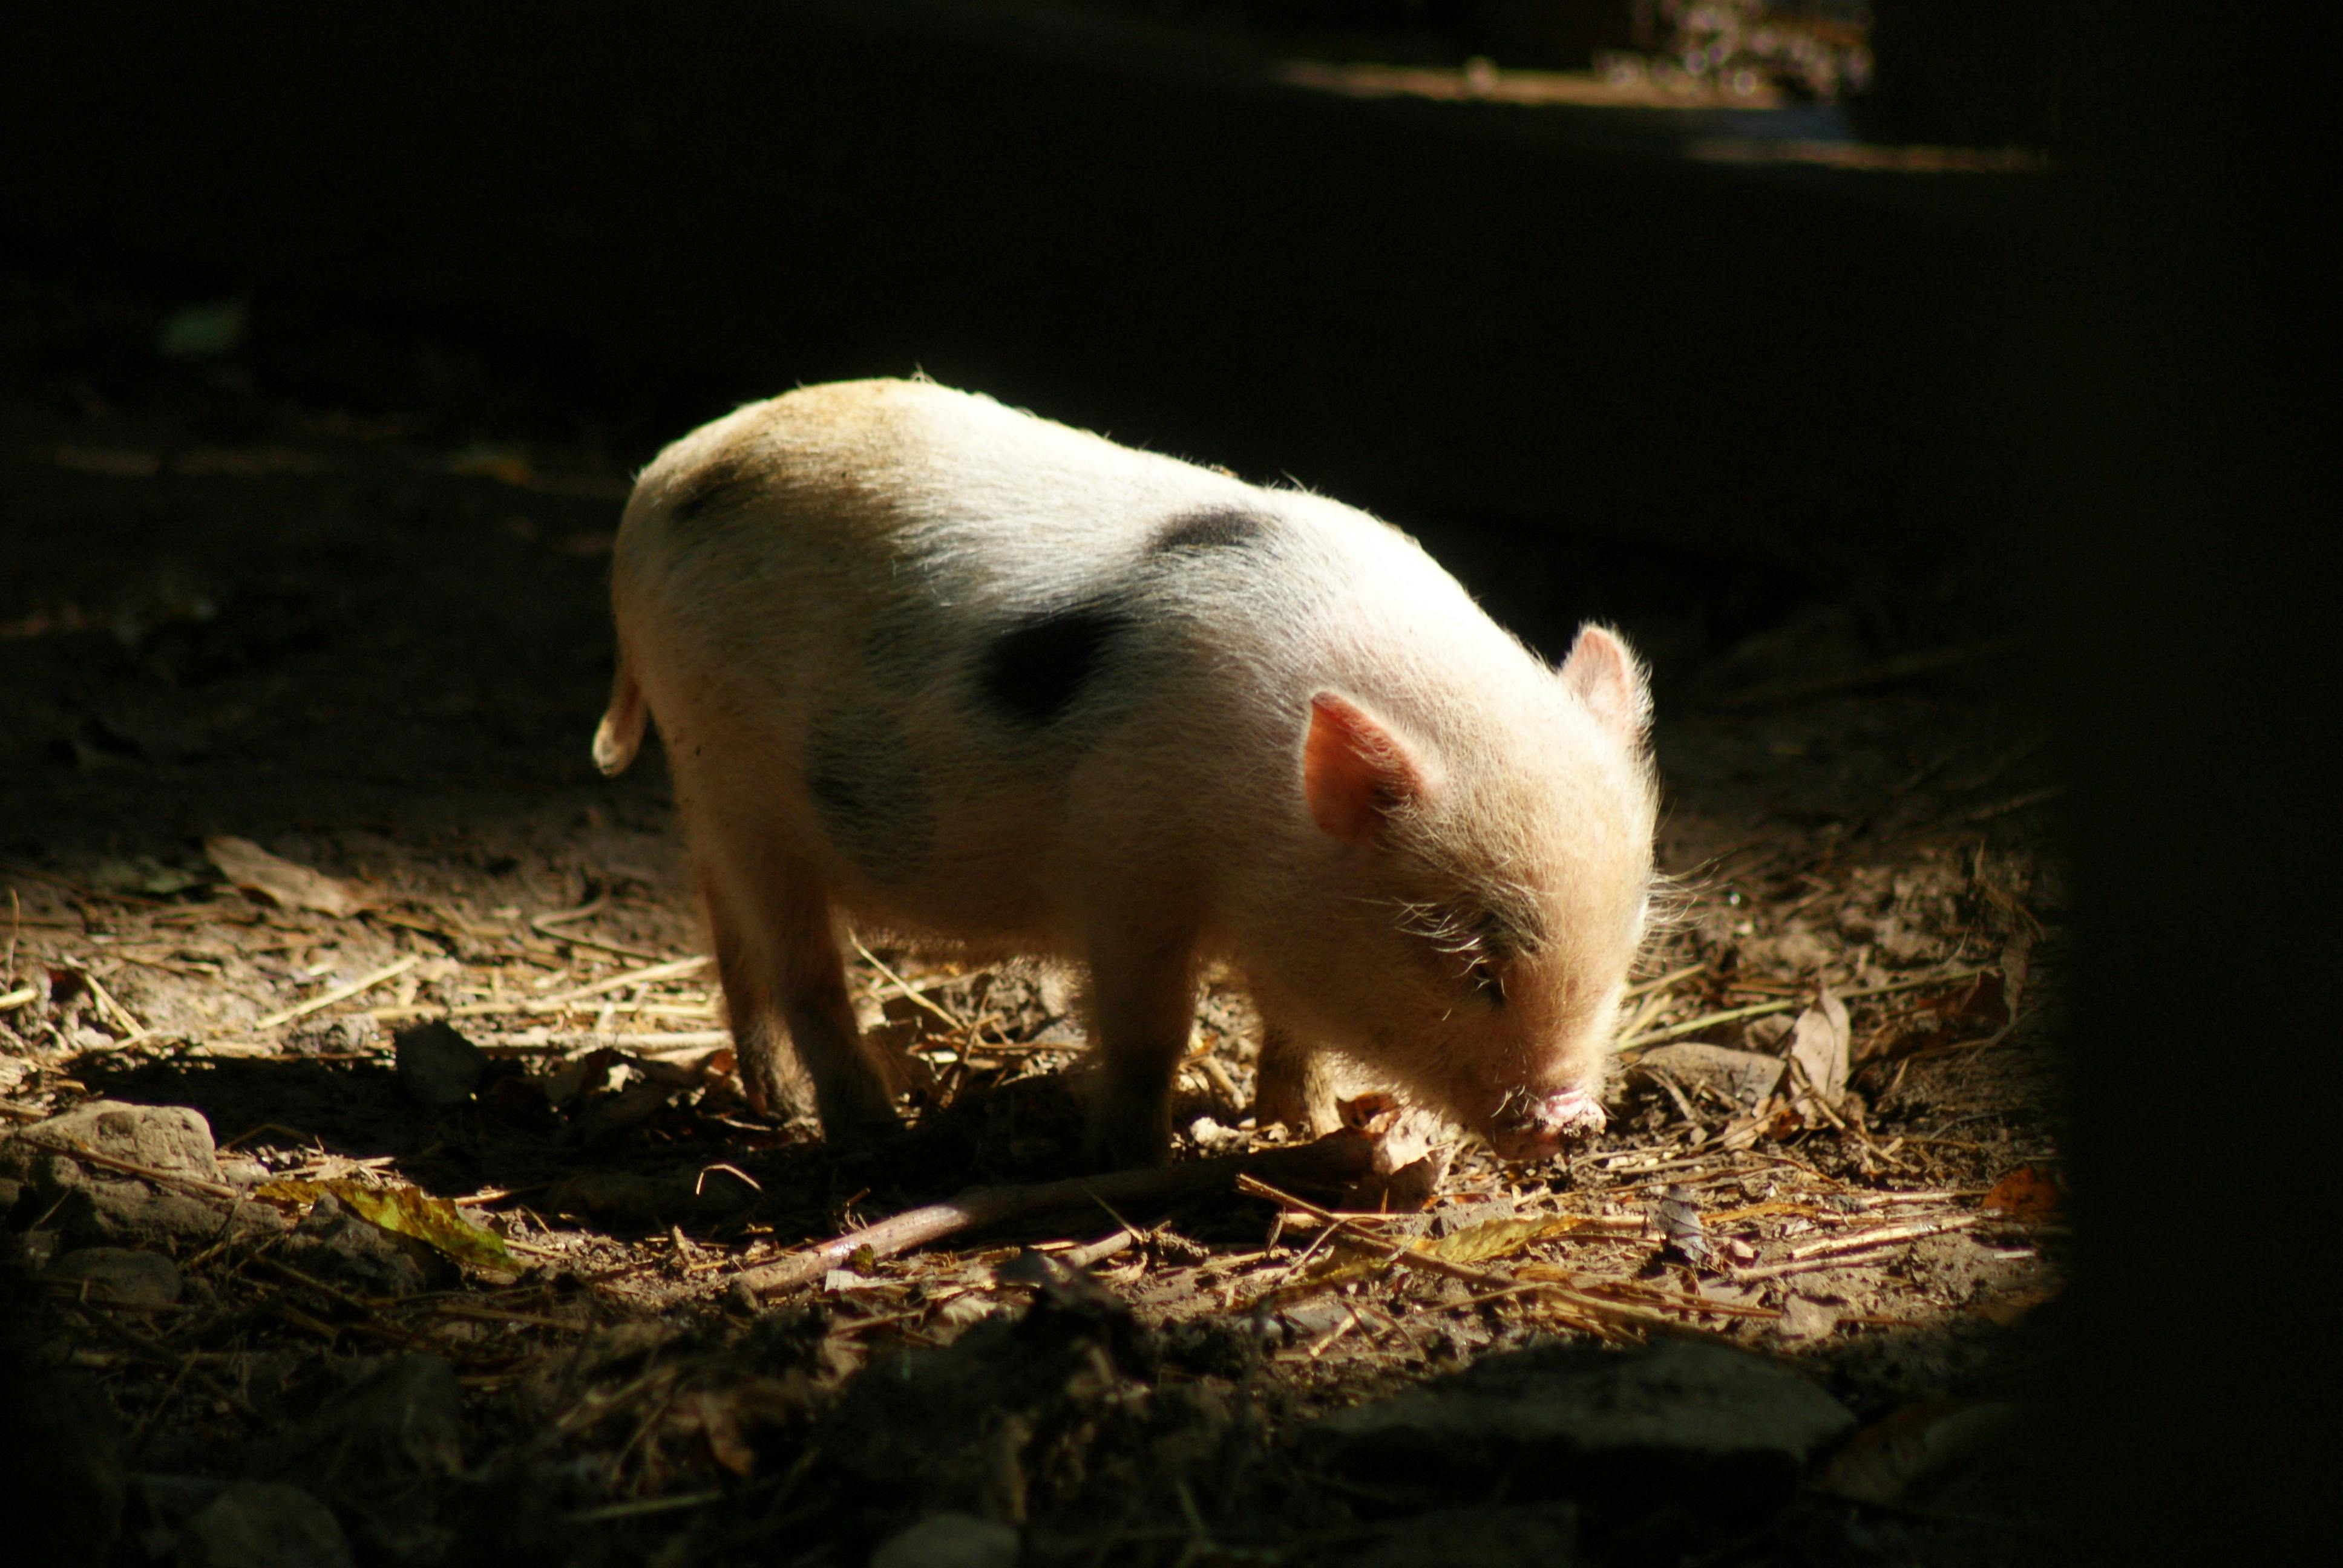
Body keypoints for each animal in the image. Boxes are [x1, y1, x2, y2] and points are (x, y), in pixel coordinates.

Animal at [591, 378, 1658, 1167]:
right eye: (1478, 971)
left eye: (1620, 958)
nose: (1574, 1121)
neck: (1265, 802)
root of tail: (659, 481)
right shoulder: (1126, 856)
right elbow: (1154, 1025)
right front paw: (1129, 1158)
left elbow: (1293, 1020)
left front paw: (1305, 1125)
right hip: (733, 775)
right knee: (801, 966)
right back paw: (878, 1141)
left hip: (706, 788)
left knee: (729, 935)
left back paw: (775, 1104)